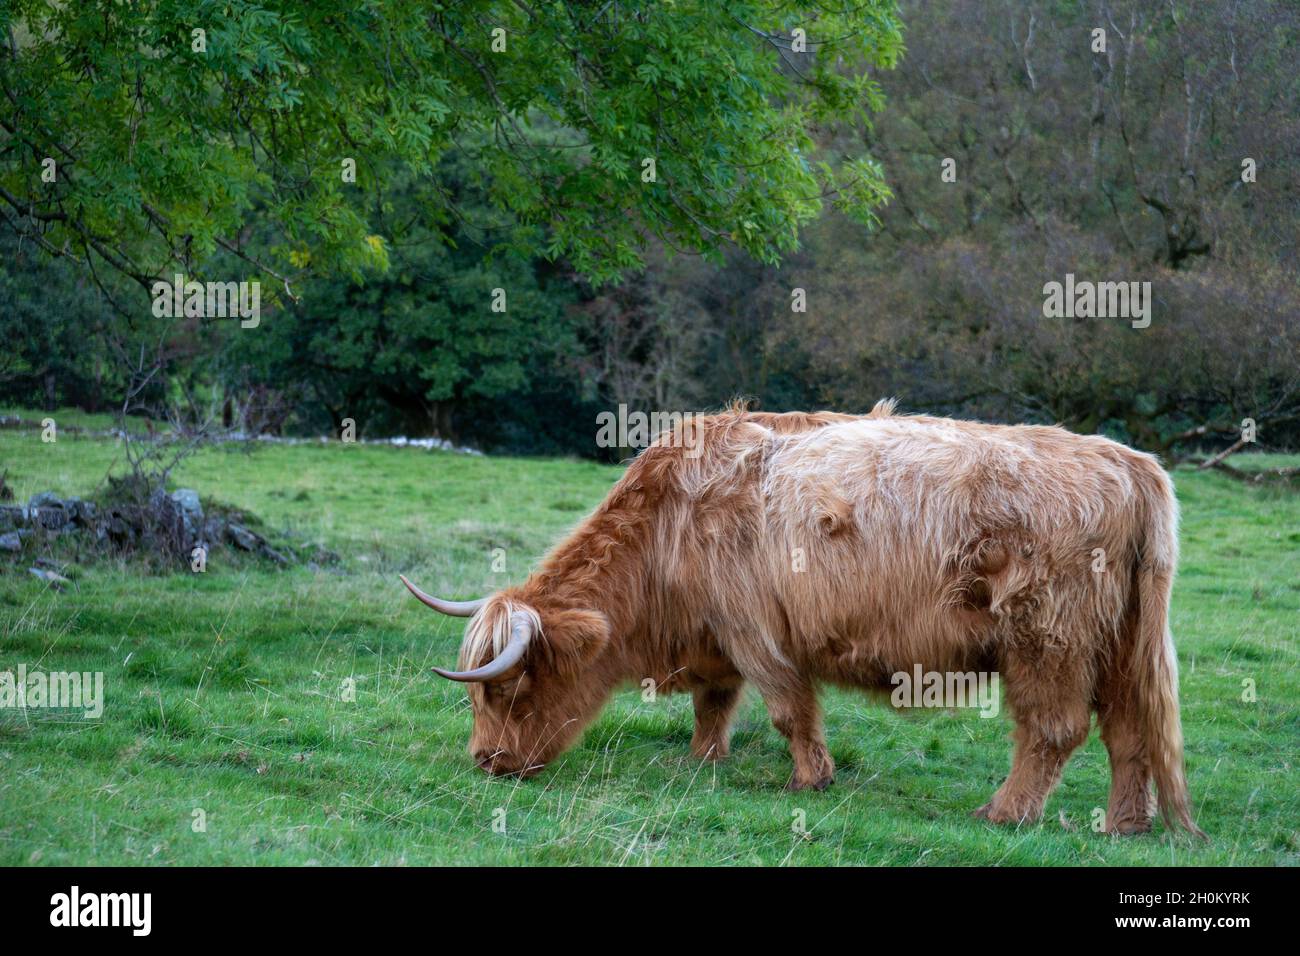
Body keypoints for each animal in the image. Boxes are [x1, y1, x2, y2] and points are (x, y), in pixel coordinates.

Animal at [401, 401, 1202, 836]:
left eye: (509, 687)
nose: (486, 761)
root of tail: (1130, 461)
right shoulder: (718, 639)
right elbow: (713, 701)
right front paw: (704, 760)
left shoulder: (757, 633)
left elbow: (789, 710)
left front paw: (808, 781)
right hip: (1121, 647)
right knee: (1130, 733)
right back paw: (1126, 824)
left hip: (1048, 641)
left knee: (1054, 730)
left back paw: (1004, 813)